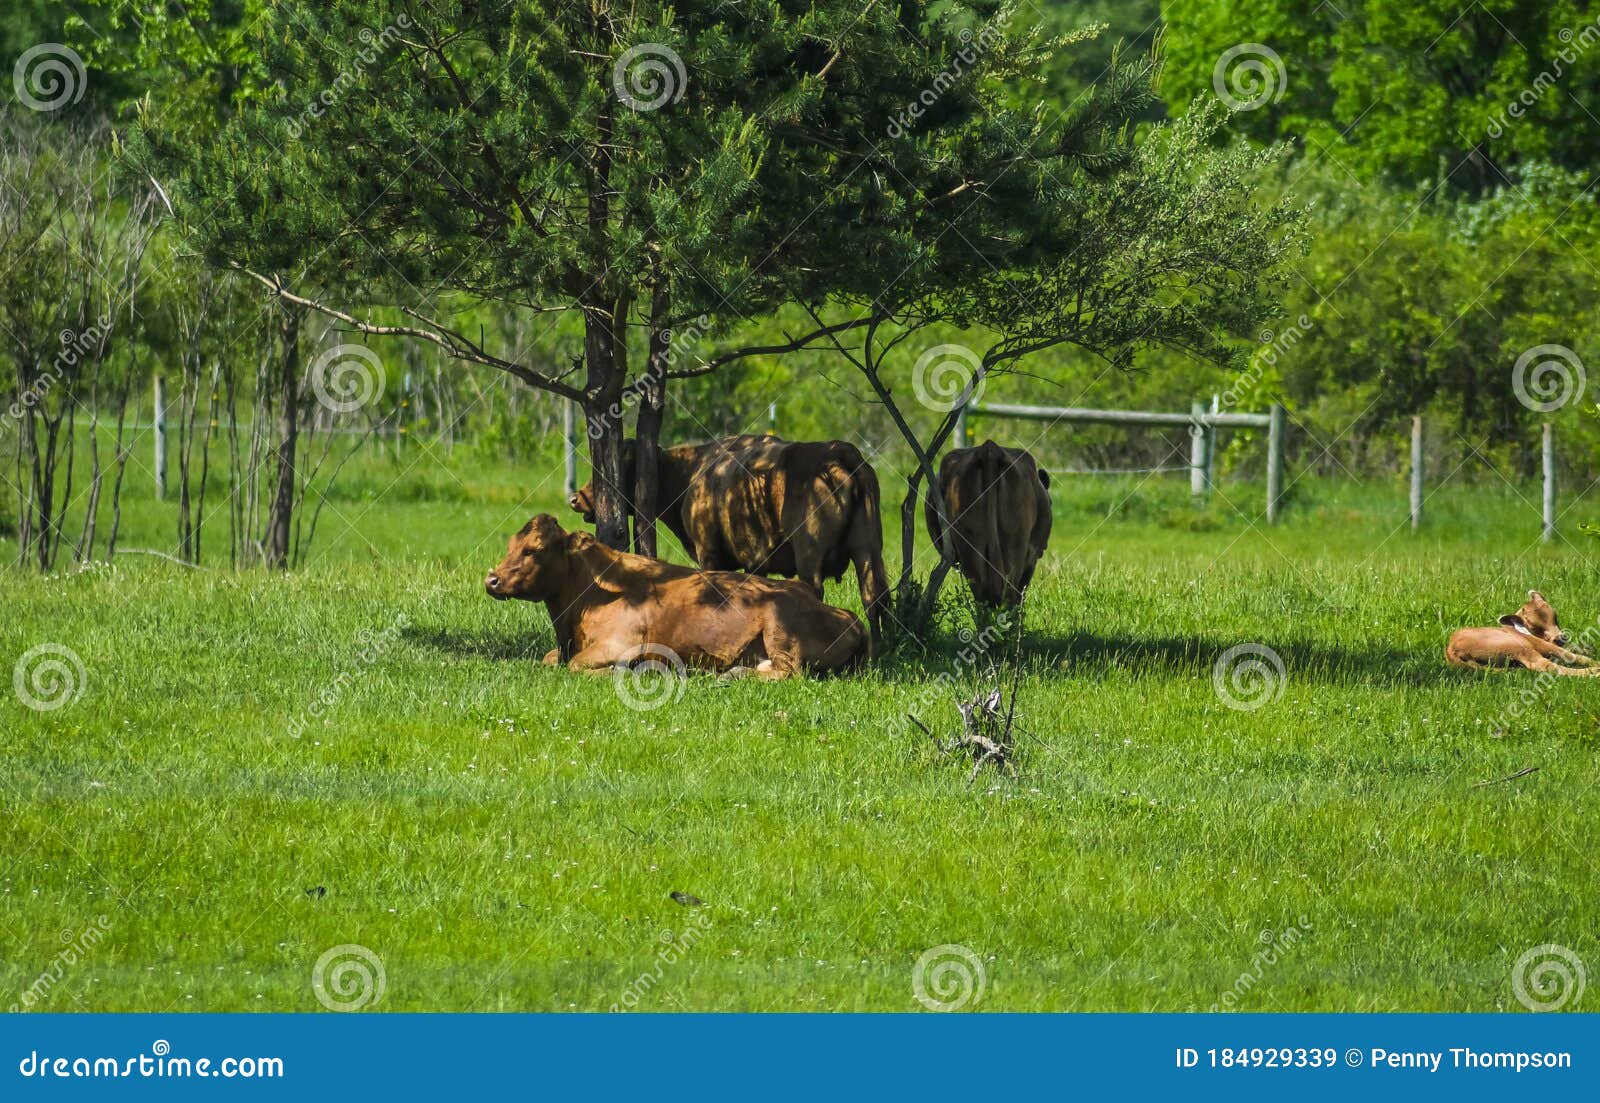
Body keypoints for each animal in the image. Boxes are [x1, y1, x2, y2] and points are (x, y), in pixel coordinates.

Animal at [485, 514, 869, 678]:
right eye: (511, 544)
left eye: (533, 549)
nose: (492, 579)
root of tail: (848, 616)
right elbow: (549, 659)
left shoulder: (622, 642)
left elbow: (577, 666)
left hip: (781, 626)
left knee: (790, 672)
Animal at [569, 434, 889, 635]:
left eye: (623, 468)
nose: (575, 499)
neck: (690, 472)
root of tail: (839, 452)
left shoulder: (708, 551)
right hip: (868, 550)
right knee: (874, 596)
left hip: (810, 556)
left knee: (818, 590)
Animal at [1445, 589, 1600, 675]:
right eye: (1533, 626)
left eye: (1555, 616)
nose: (1560, 638)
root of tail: (1451, 649)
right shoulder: (1544, 645)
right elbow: (1573, 655)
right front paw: (1594, 662)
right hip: (1517, 647)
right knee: (1545, 666)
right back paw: (1593, 672)